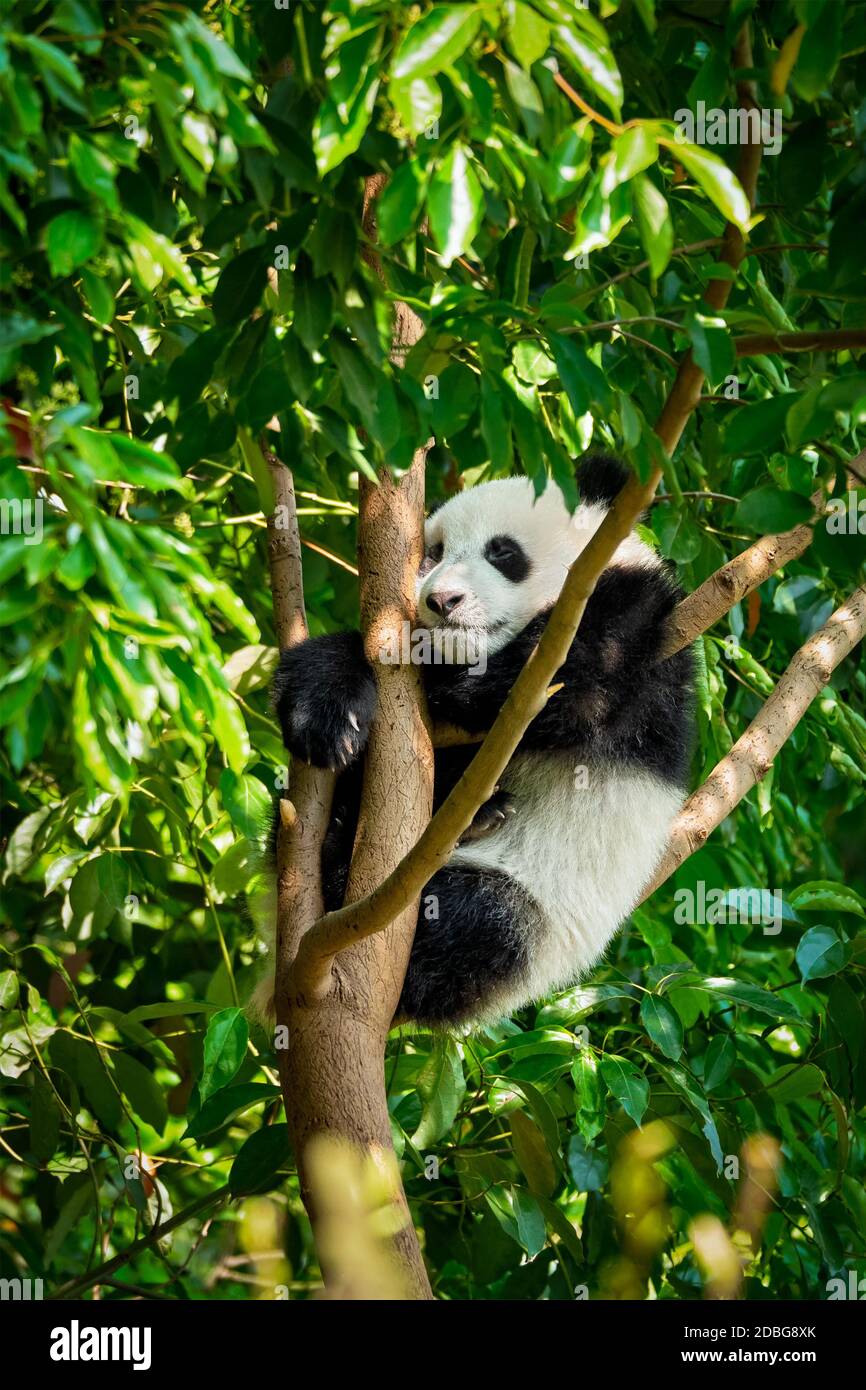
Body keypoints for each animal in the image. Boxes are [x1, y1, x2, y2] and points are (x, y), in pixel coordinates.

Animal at [266, 453, 694, 1029]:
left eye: (503, 552)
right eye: (435, 552)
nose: (442, 600)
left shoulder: (642, 635)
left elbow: (566, 684)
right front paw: (324, 708)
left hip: (535, 912)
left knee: (470, 926)